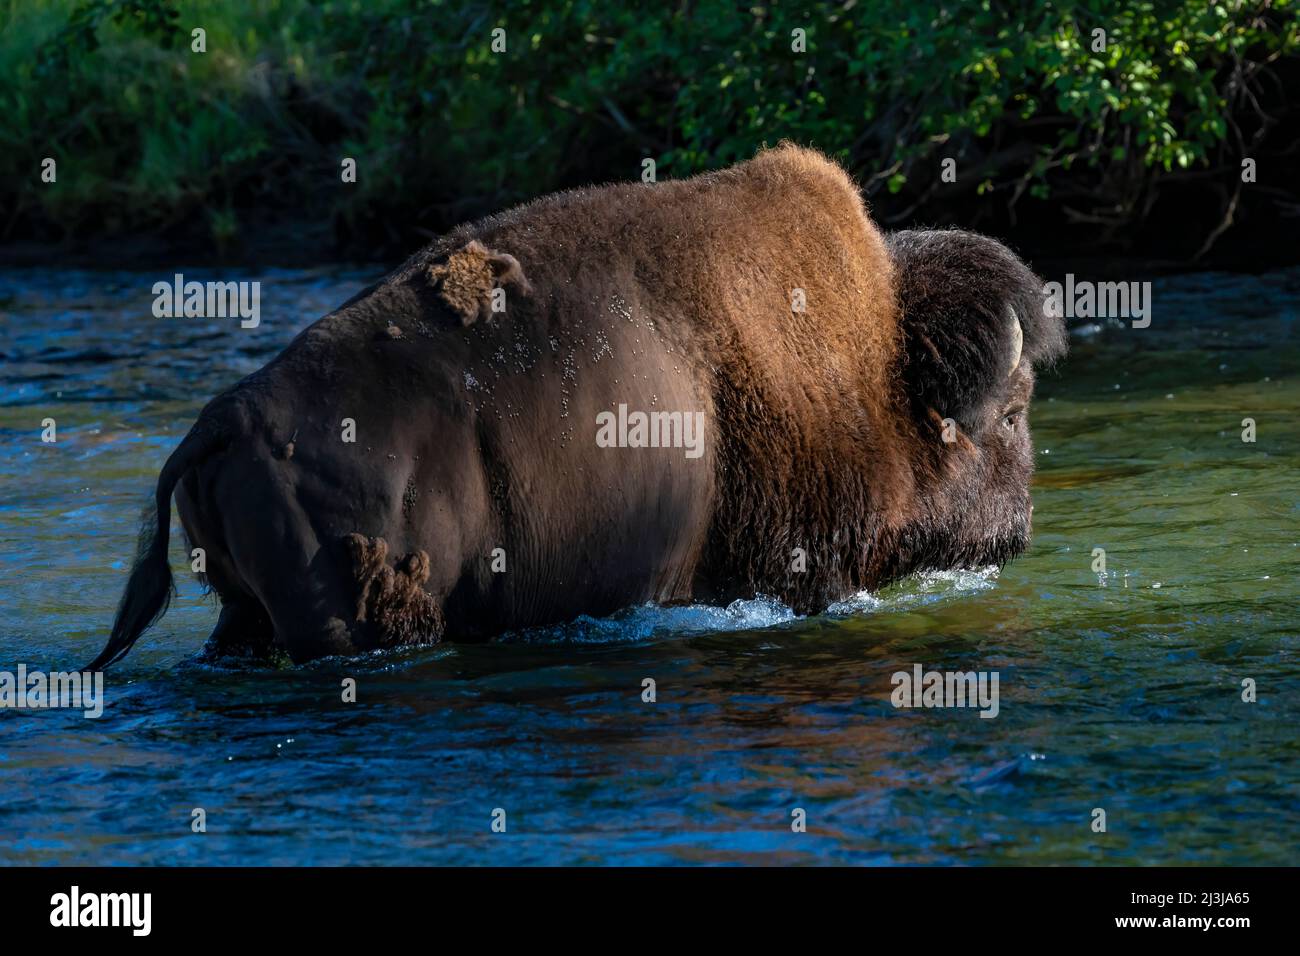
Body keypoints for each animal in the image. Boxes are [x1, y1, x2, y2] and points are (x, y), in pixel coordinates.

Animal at [90, 145, 1066, 668]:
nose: (1021, 527)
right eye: (1014, 415)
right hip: (356, 620)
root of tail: (221, 422)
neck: (880, 368)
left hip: (243, 614)